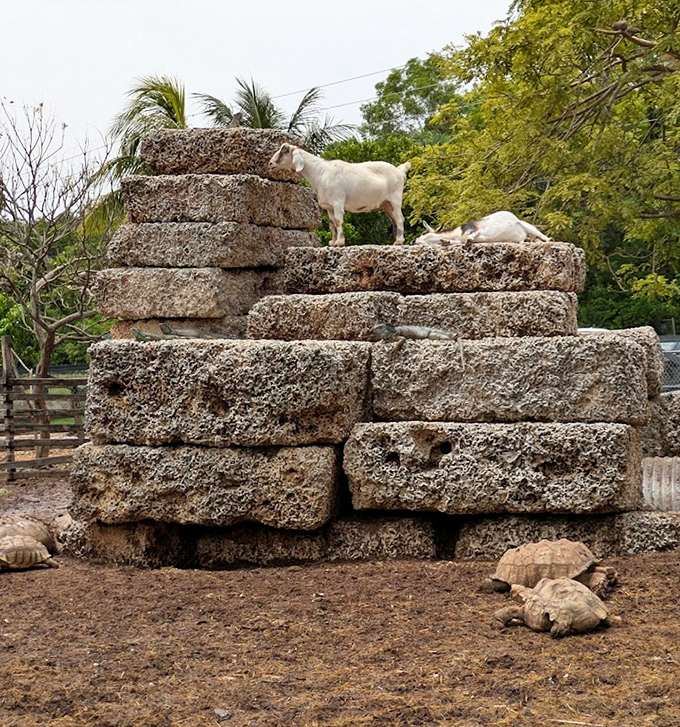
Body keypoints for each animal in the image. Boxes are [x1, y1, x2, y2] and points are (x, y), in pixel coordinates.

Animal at [269, 143, 411, 246]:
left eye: (284, 151)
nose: (270, 163)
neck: (320, 173)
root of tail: (399, 171)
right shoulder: (329, 206)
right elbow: (332, 223)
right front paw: (332, 242)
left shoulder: (337, 202)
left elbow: (338, 221)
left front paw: (340, 242)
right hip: (386, 204)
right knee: (394, 219)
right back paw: (397, 240)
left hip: (395, 200)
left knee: (400, 219)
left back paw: (399, 241)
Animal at [414, 210, 550, 245]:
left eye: (423, 234)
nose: (413, 241)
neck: (457, 233)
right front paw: (445, 242)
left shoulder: (476, 229)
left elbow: (470, 236)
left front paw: (469, 240)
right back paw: (527, 240)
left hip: (525, 225)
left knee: (541, 236)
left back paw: (549, 240)